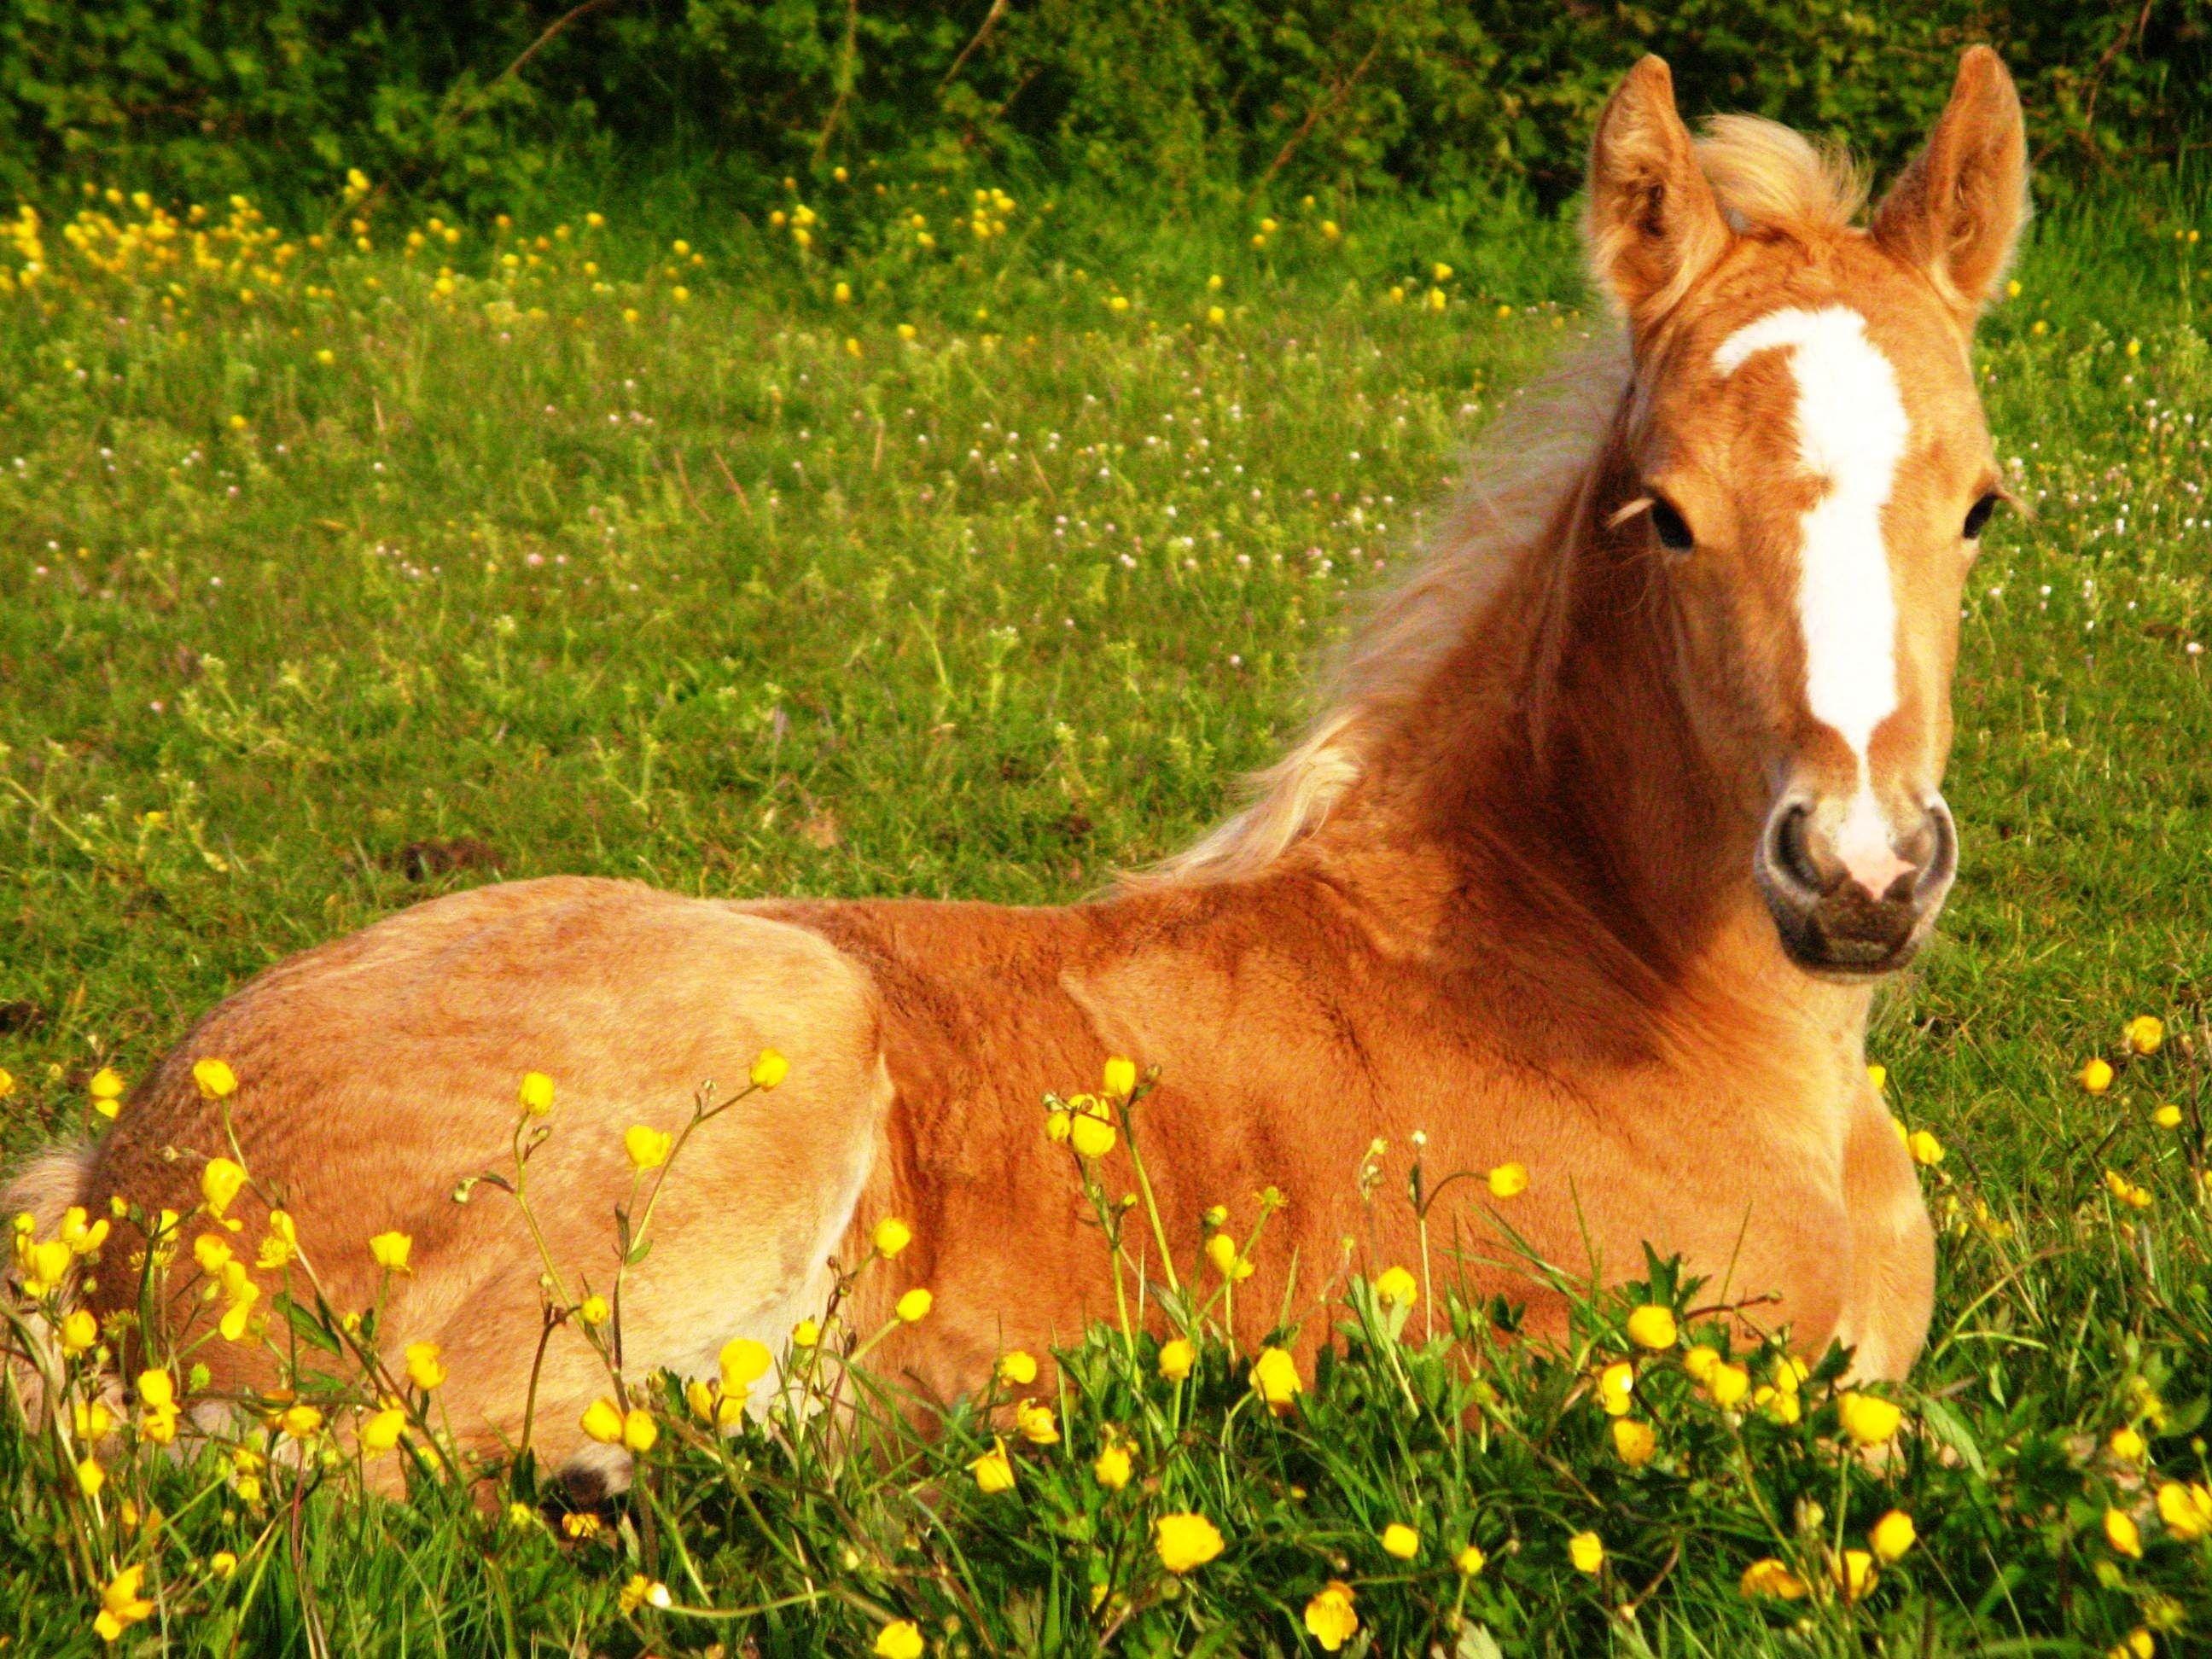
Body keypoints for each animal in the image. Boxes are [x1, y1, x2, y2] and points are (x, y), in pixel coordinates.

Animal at [6, 48, 2027, 1498]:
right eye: (1663, 514)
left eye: (1982, 503)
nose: (1858, 875)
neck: (1606, 981)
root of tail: (117, 1180)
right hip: (777, 1020)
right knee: (359, 1440)